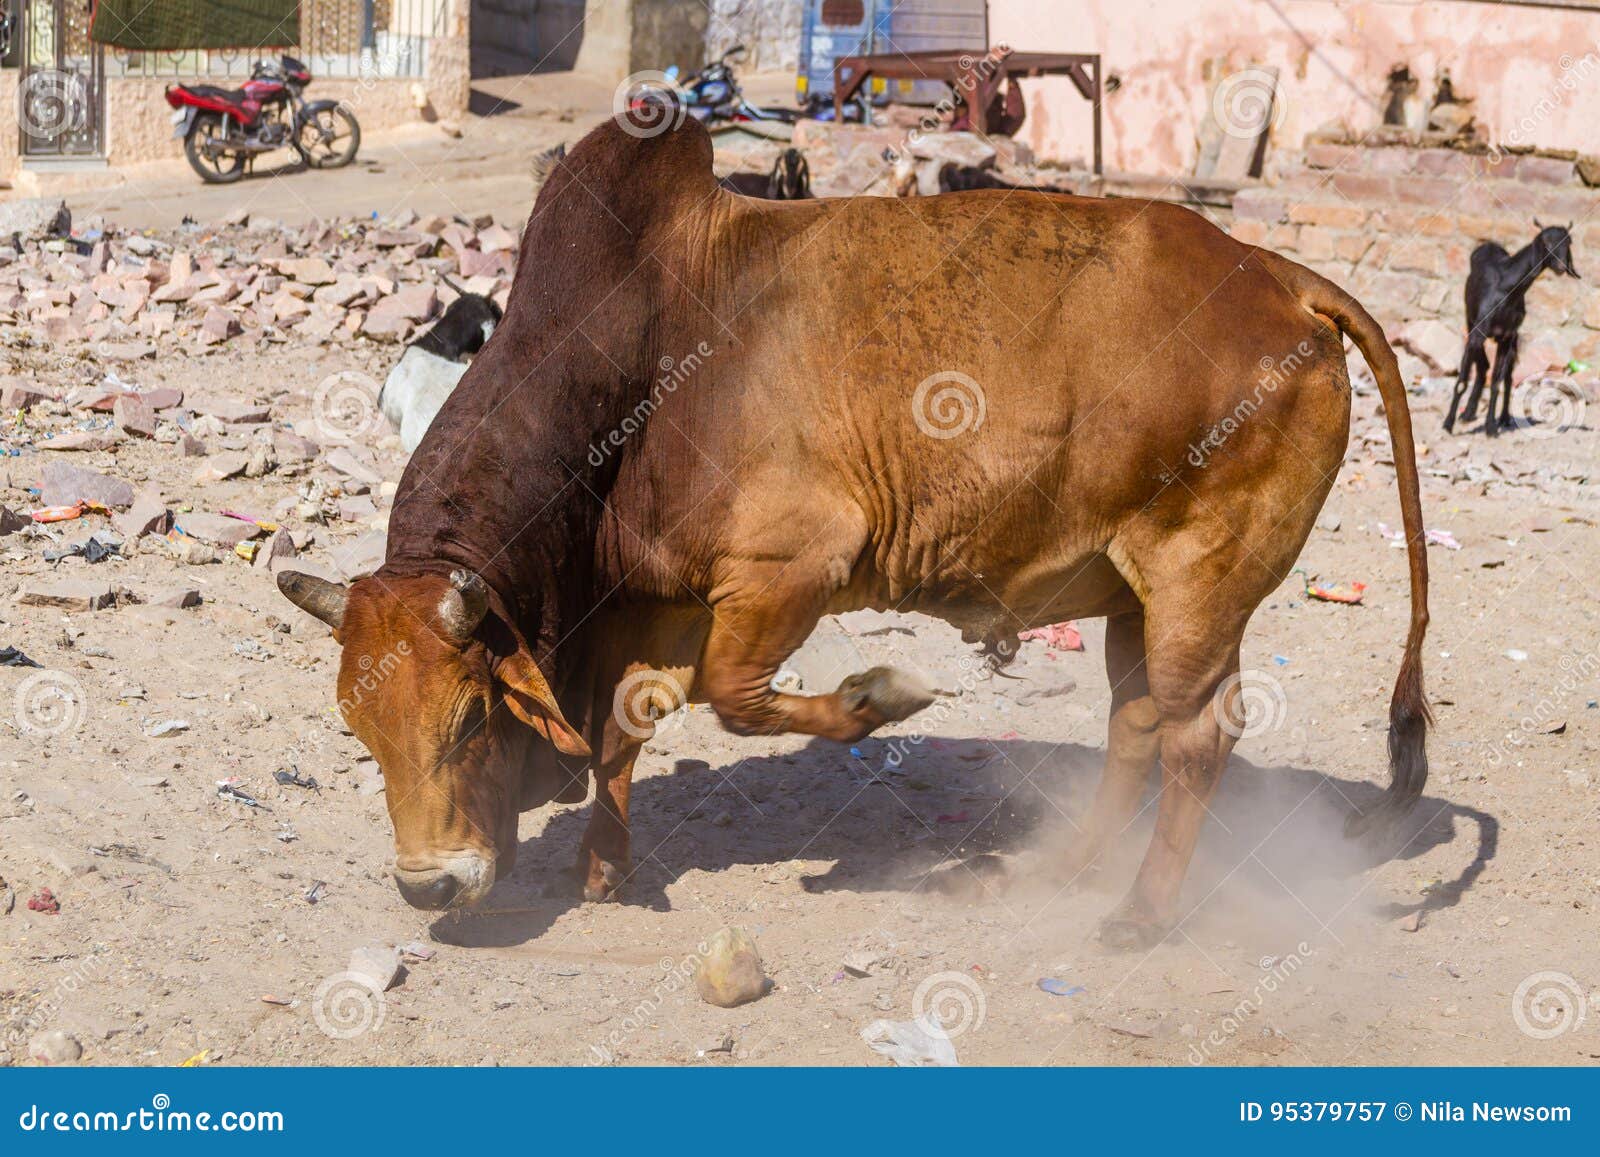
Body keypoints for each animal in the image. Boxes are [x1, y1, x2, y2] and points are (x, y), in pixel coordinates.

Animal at [277, 110, 1431, 950]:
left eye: (472, 717)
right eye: (357, 727)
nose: (429, 887)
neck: (633, 363)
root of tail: (1279, 277)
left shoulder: (789, 567)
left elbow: (736, 700)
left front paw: (882, 696)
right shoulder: (649, 600)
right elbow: (618, 731)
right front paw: (604, 866)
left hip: (1200, 583)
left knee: (1197, 737)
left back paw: (1140, 912)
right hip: (1129, 600)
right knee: (1137, 723)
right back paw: (1073, 866)